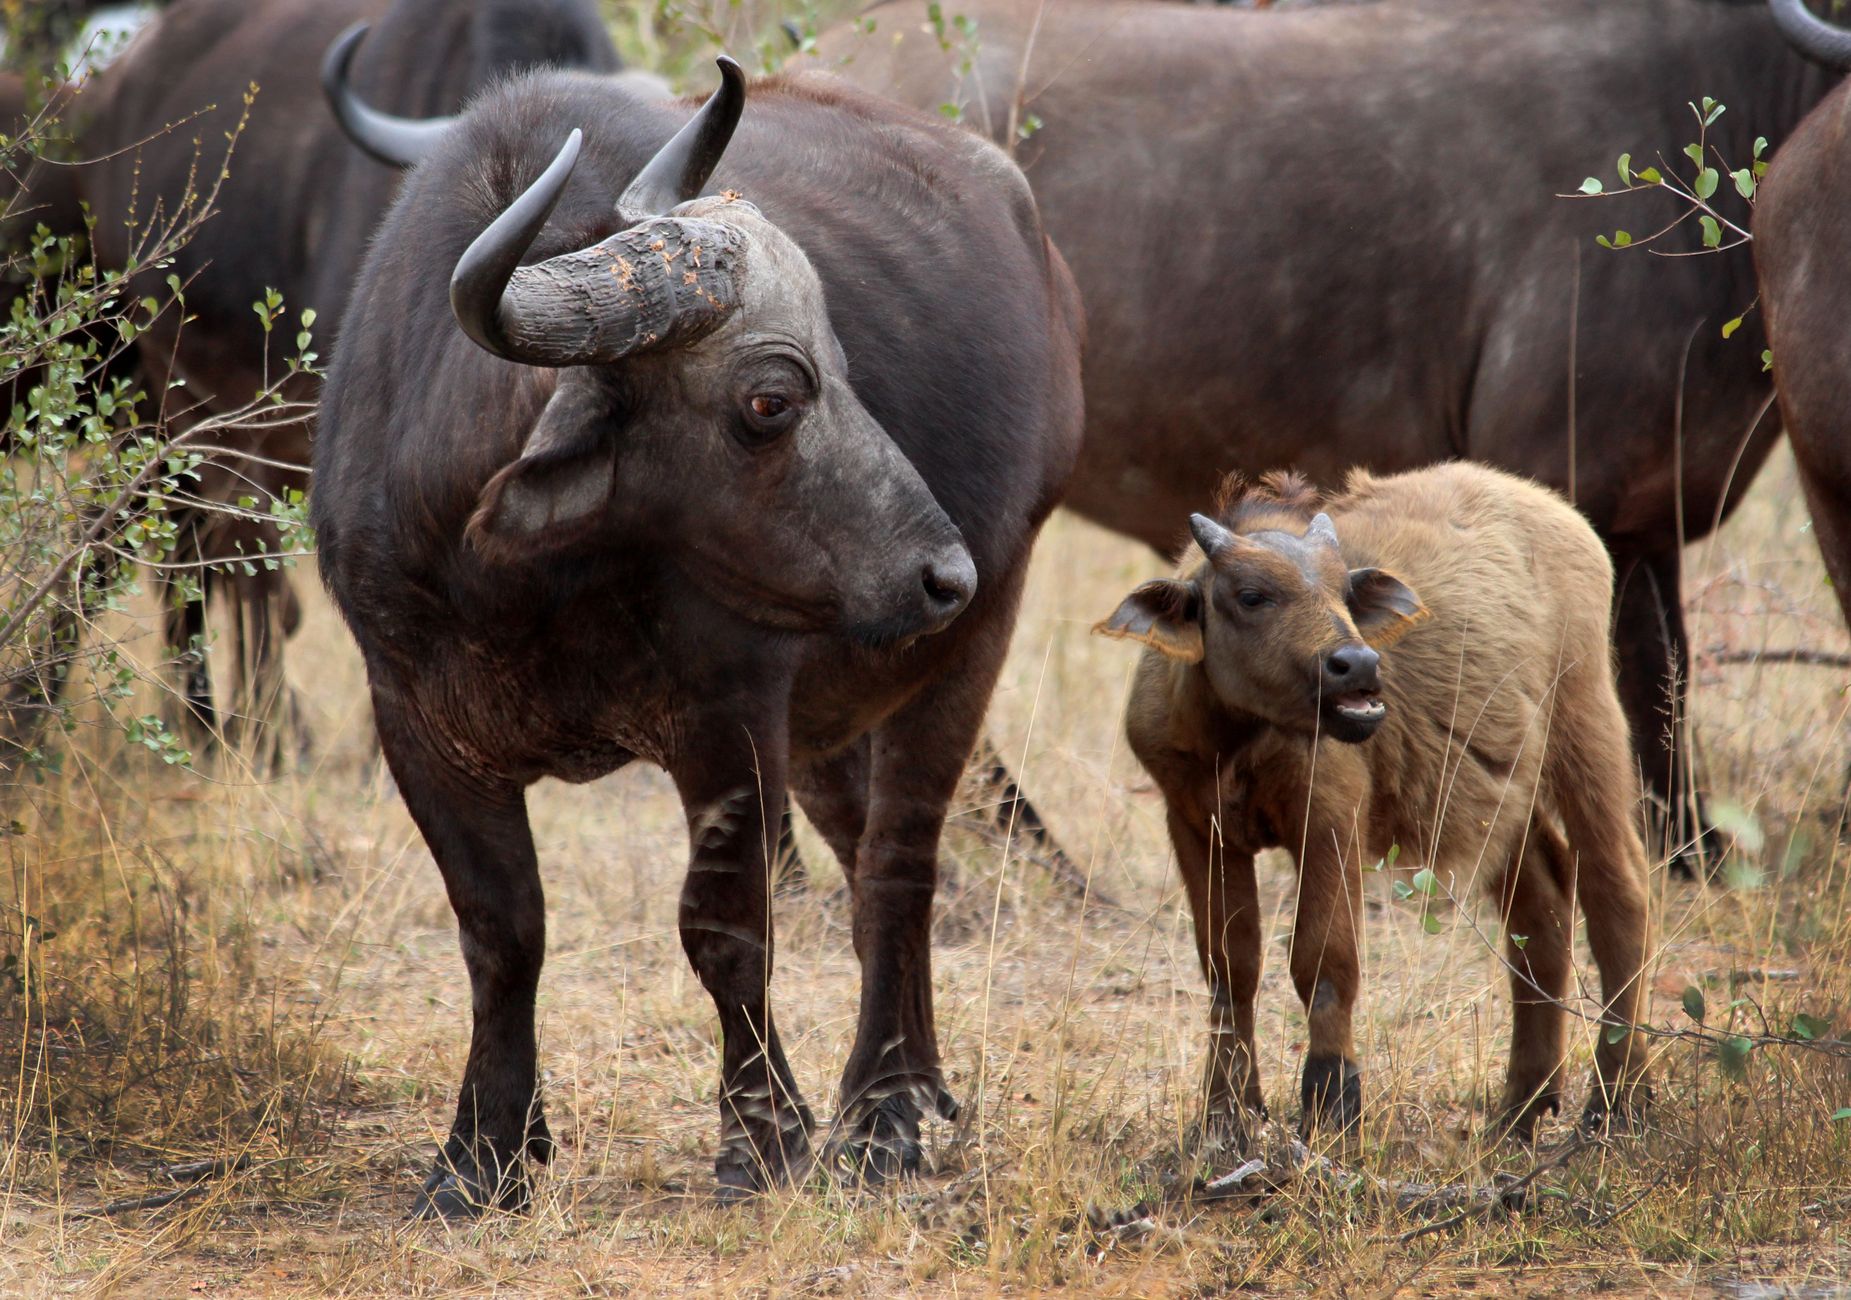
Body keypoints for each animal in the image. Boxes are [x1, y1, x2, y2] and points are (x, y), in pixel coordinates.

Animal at [313, 52, 1082, 1211]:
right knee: (862, 854)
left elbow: (722, 927)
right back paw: (918, 1078)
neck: (524, 586)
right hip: (836, 713)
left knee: (899, 864)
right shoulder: (415, 723)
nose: (942, 573)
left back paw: (882, 1111)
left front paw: (764, 1141)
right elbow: (501, 930)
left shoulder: (730, 719)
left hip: (972, 646)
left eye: (842, 360)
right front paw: (482, 1153)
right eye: (770, 399)